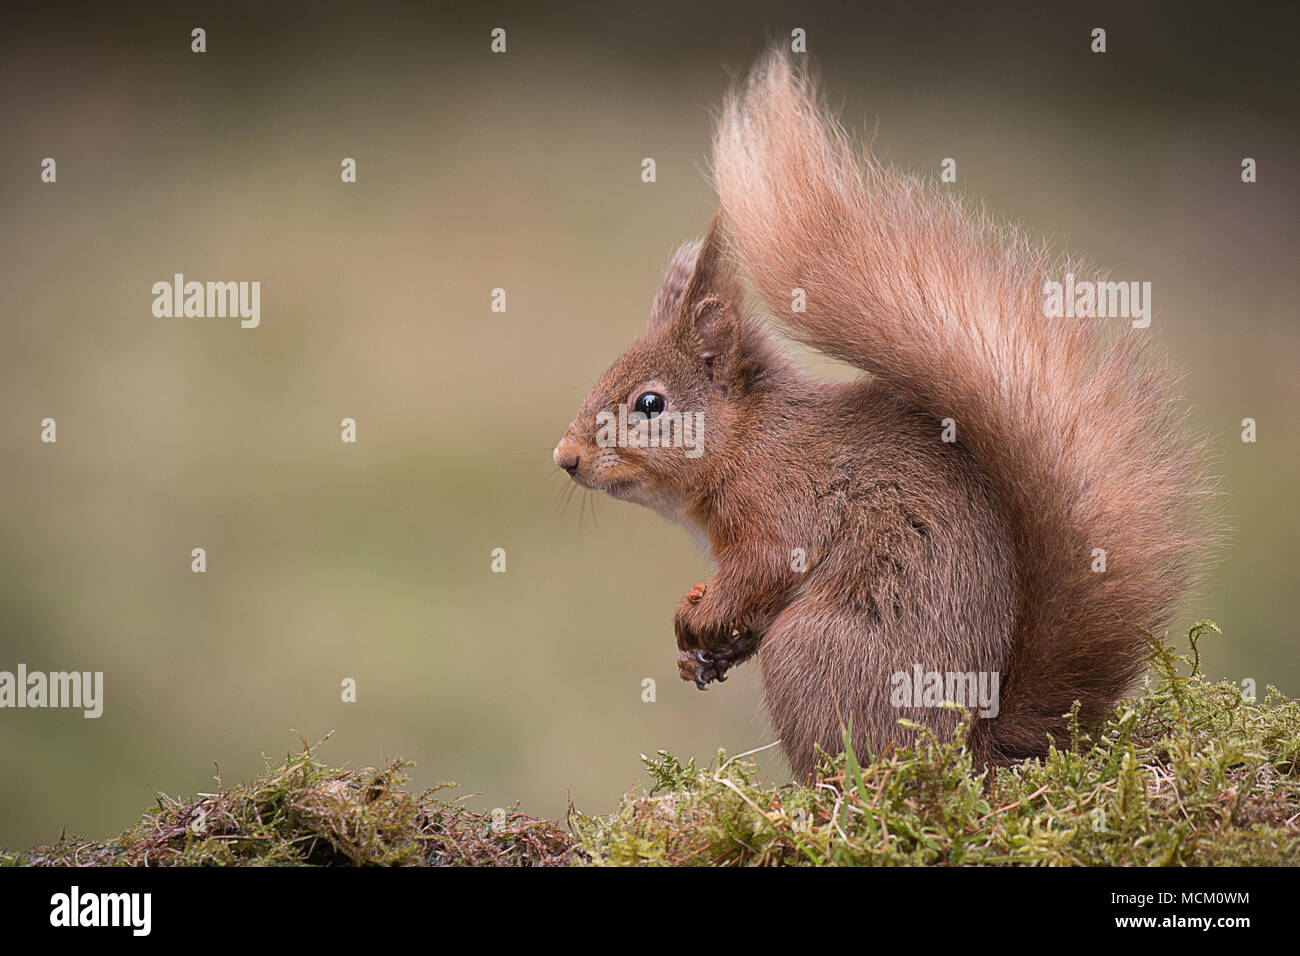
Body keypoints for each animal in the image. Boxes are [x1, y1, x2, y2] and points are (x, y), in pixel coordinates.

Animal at [553, 51, 1214, 776]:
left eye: (650, 404)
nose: (565, 458)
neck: (748, 440)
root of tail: (970, 749)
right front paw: (702, 647)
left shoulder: (783, 502)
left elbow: (766, 565)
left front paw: (697, 615)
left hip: (810, 650)